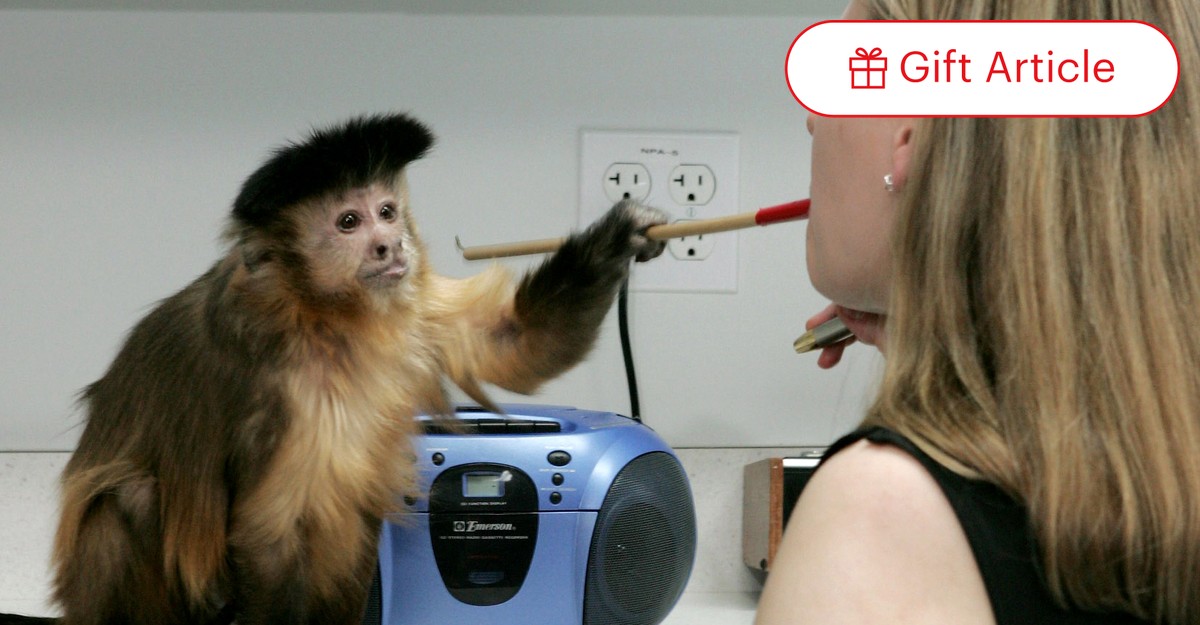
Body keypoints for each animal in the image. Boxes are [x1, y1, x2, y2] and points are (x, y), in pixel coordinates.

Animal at [0, 113, 665, 625]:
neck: (329, 315)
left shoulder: (410, 304)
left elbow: (517, 342)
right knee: (131, 497)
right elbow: (273, 532)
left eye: (387, 212)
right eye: (349, 223)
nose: (389, 246)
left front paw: (624, 235)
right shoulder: (280, 377)